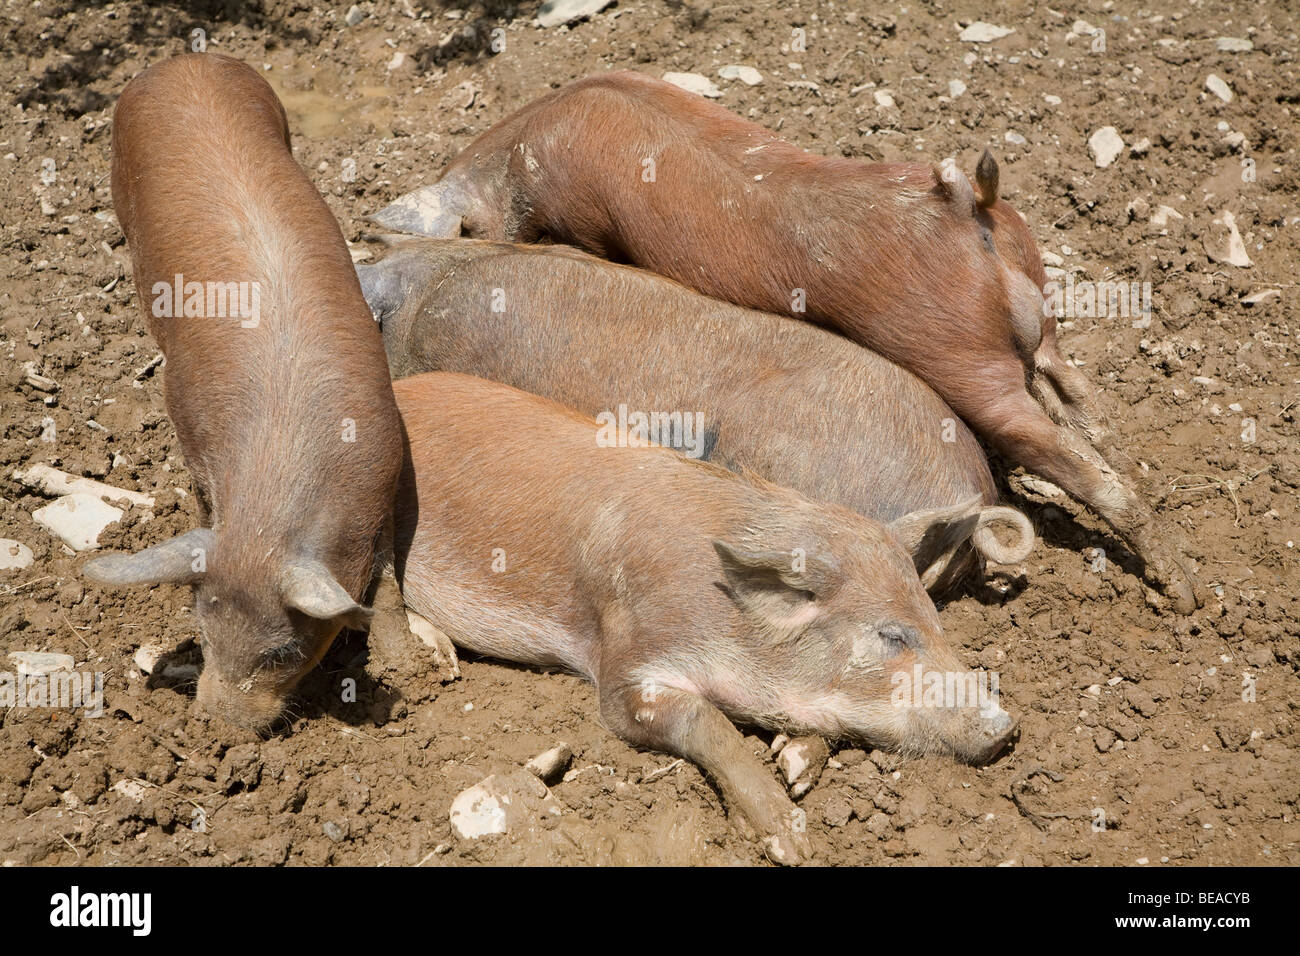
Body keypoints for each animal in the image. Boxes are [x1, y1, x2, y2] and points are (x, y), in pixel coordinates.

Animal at [82, 53, 406, 730]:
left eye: (282, 650)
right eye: (200, 631)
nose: (216, 726)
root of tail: (184, 61)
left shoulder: (390, 467)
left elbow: (388, 578)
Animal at [390, 371, 1018, 864]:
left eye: (935, 620)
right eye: (890, 634)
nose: (1006, 728)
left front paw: (794, 767)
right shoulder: (627, 660)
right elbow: (701, 719)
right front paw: (794, 843)